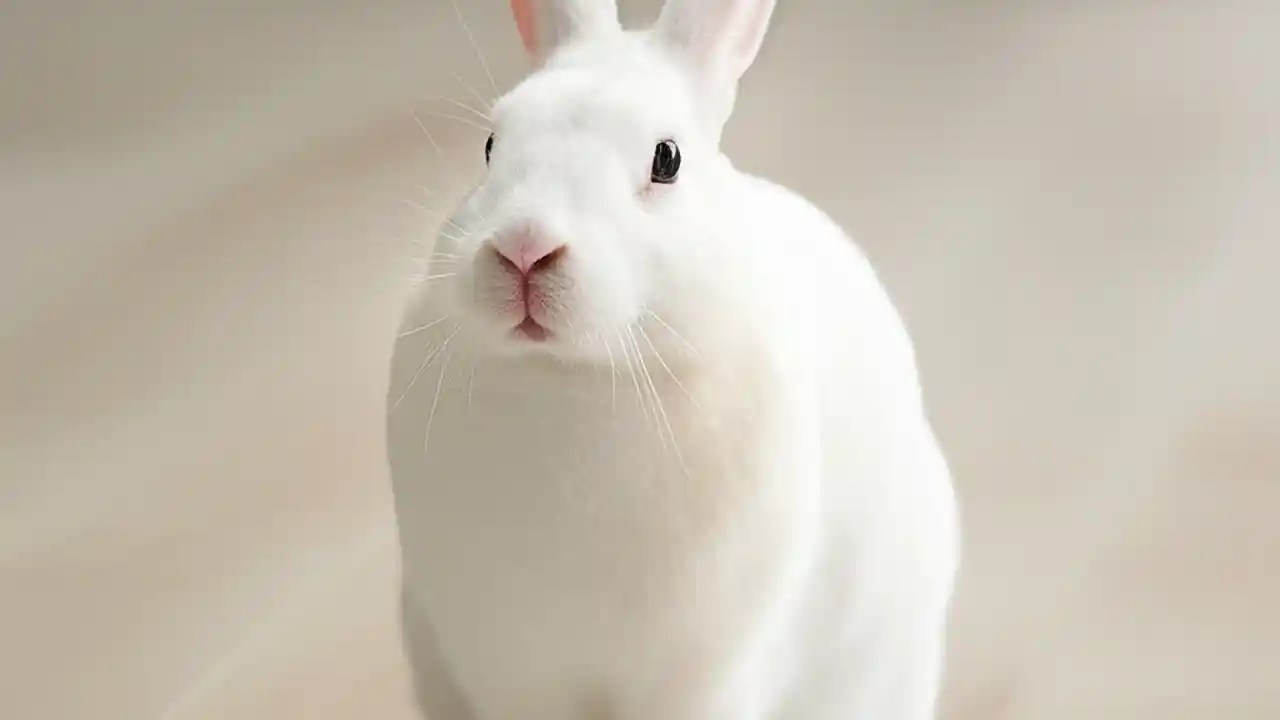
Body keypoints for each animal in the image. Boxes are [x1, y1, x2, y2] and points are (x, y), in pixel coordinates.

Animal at [385, 1, 959, 718]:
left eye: (667, 159)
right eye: (490, 146)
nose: (523, 248)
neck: (575, 374)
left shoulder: (707, 672)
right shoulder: (505, 667)